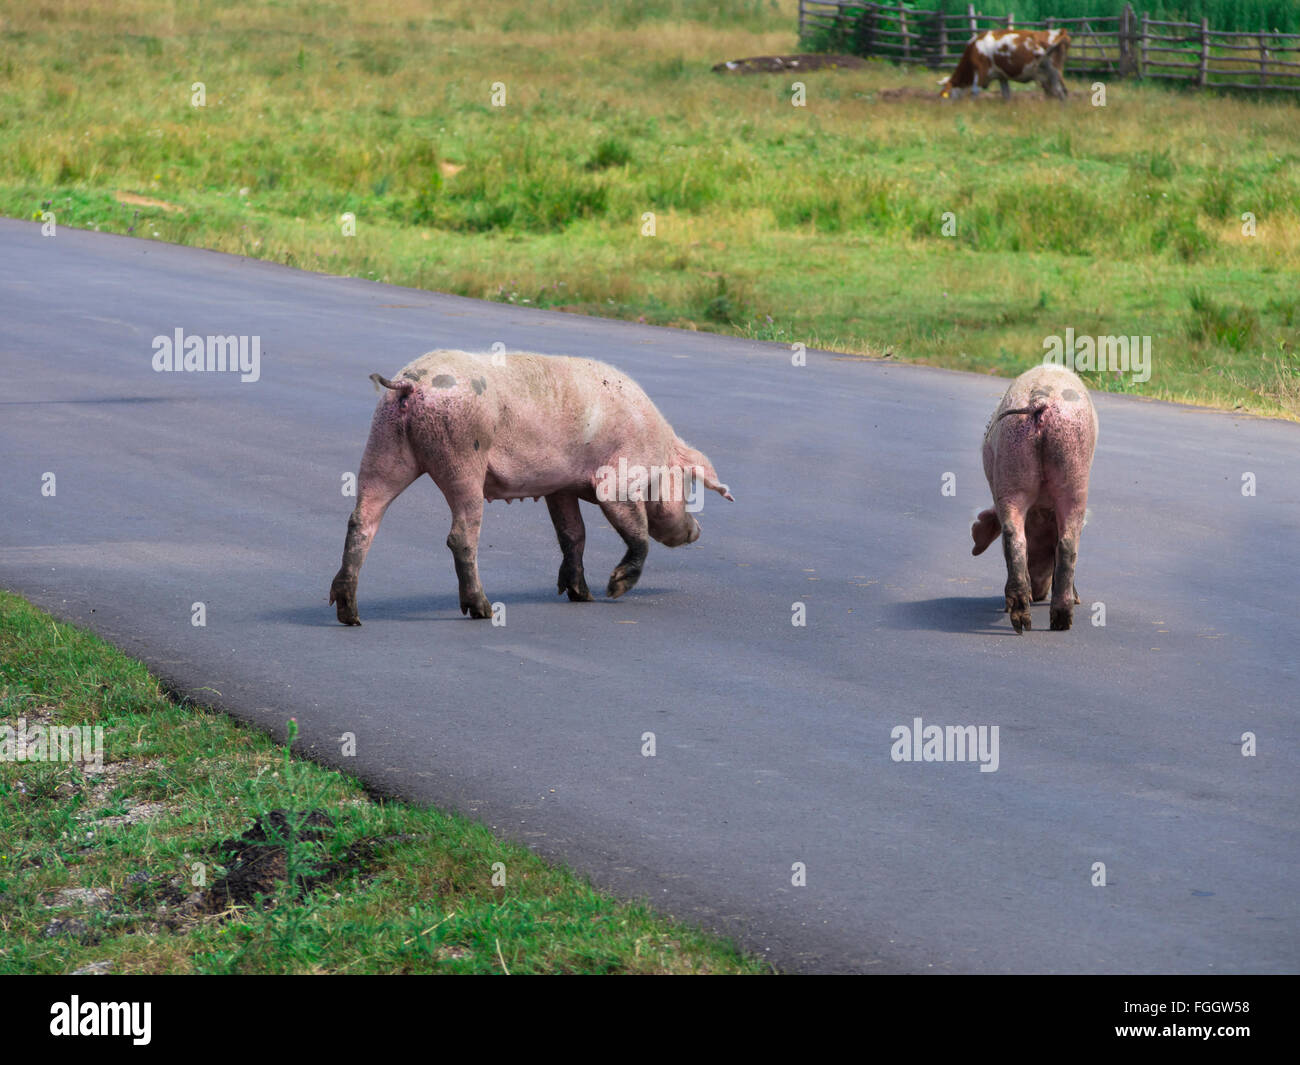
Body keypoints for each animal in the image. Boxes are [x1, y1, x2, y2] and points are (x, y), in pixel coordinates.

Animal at [329, 349, 734, 624]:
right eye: (688, 483)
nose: (697, 530)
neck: (659, 444)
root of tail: (411, 383)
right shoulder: (617, 478)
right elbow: (638, 534)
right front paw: (611, 590)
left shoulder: (560, 488)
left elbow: (573, 535)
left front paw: (582, 596)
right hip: (463, 456)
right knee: (460, 536)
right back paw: (483, 609)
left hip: (384, 445)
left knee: (362, 519)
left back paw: (350, 614)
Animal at [971, 364, 1098, 633]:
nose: (1039, 594)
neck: (1040, 510)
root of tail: (1039, 400)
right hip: (1075, 474)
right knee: (1067, 542)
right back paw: (1060, 620)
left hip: (1013, 469)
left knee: (1015, 537)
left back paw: (1024, 619)